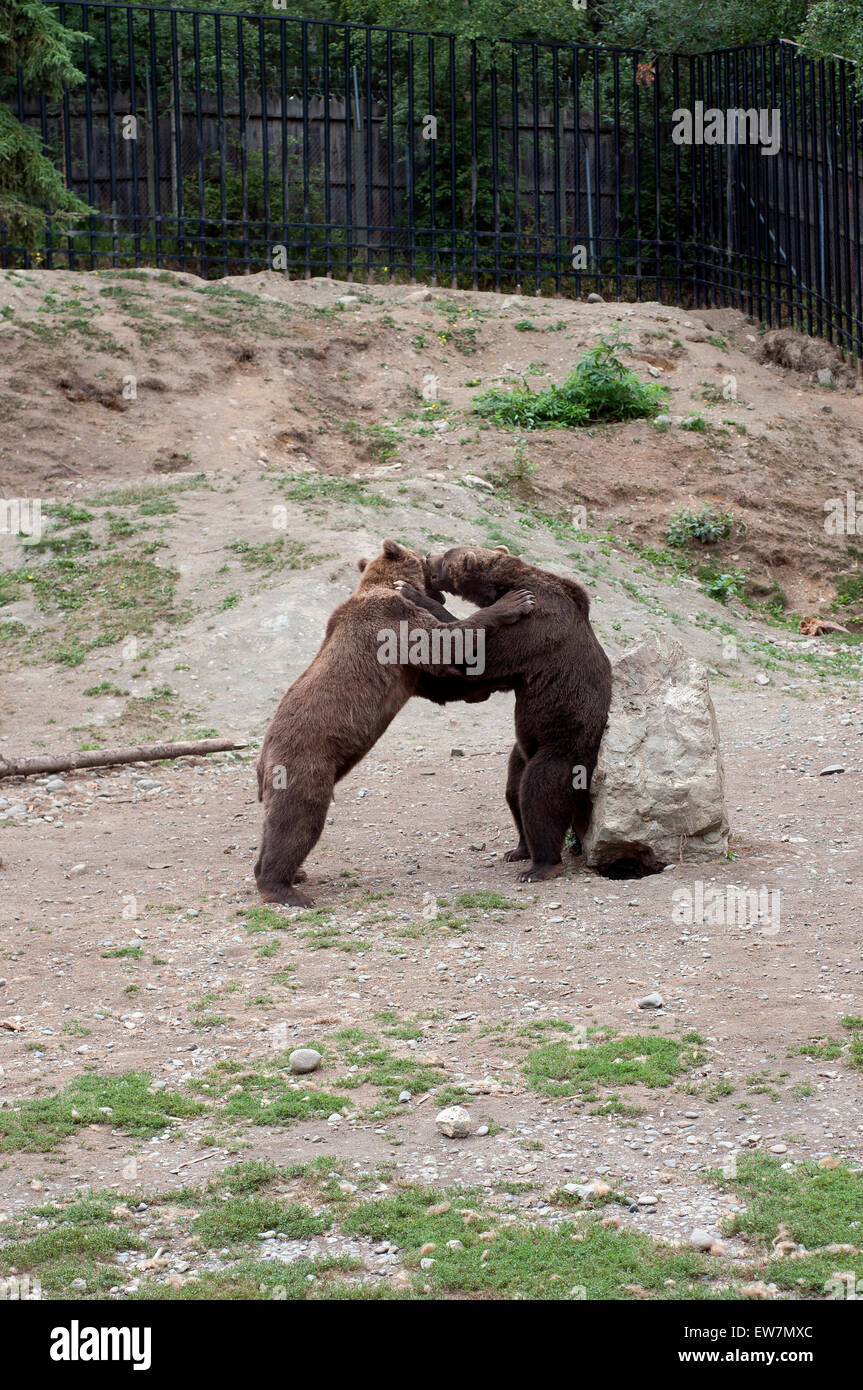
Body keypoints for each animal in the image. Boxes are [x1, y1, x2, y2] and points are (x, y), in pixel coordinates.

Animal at [254, 539, 535, 906]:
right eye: (424, 558)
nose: (430, 554)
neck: (383, 585)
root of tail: (262, 761)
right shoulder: (394, 623)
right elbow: (445, 642)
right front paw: (515, 601)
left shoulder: (411, 672)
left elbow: (443, 681)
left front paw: (486, 685)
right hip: (305, 764)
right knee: (298, 820)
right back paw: (285, 889)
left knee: (273, 825)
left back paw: (291, 874)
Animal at [401, 544, 612, 884]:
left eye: (445, 557)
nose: (427, 556)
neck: (504, 585)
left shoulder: (533, 629)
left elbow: (479, 657)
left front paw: (409, 591)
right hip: (522, 749)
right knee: (513, 790)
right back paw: (519, 849)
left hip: (564, 745)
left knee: (537, 795)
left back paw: (540, 866)